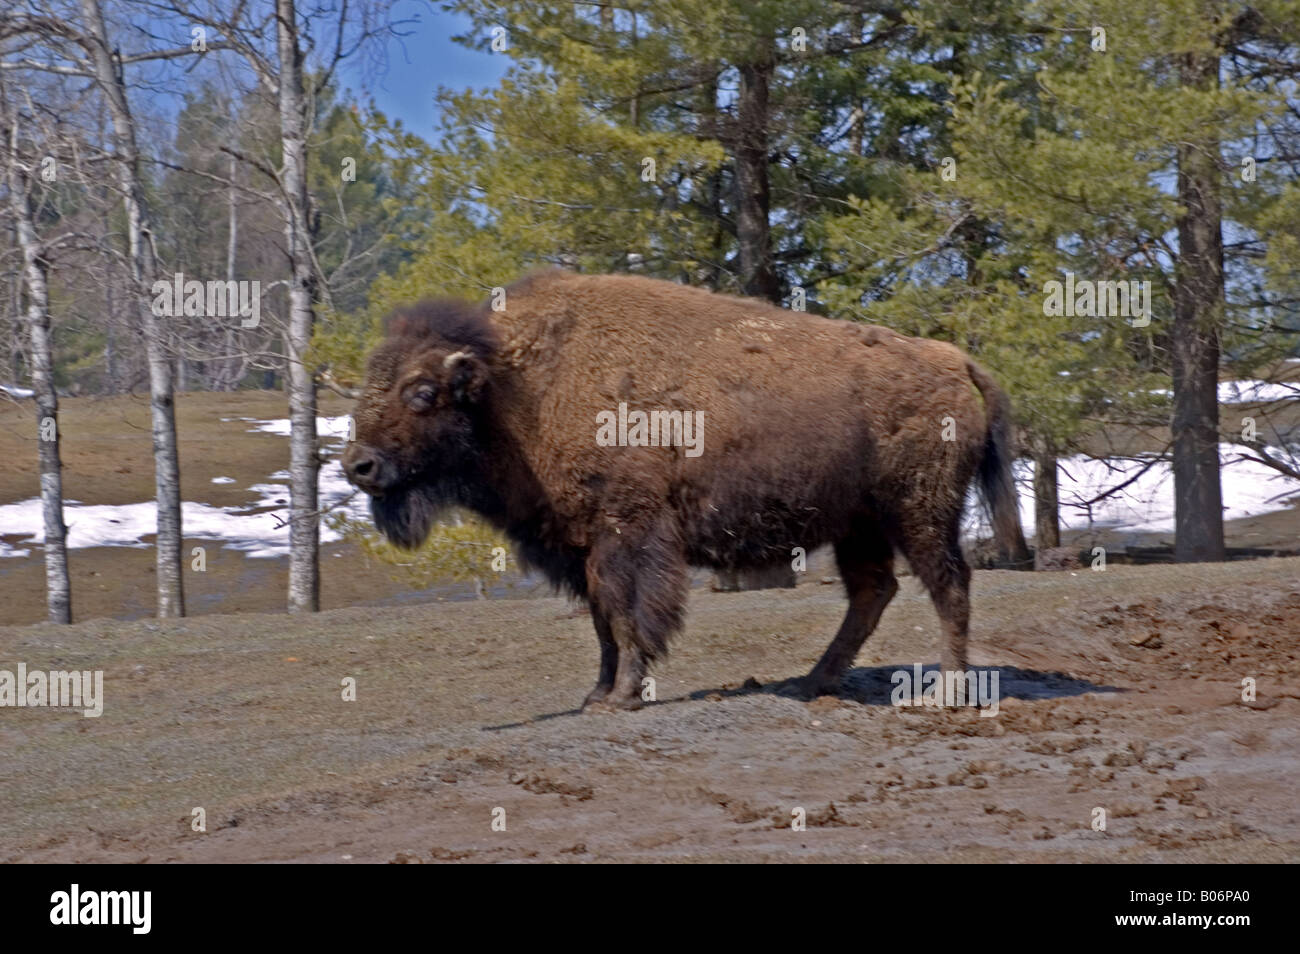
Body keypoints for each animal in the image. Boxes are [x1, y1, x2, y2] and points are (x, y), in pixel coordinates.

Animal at [342, 270, 1029, 710]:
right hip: (858, 523)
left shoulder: (627, 535)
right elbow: (602, 624)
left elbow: (627, 617)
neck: (516, 387)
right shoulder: (583, 546)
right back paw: (812, 683)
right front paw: (596, 695)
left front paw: (621, 698)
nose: (359, 466)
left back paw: (947, 689)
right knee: (873, 591)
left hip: (919, 512)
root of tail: (952, 360)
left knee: (948, 585)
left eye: (422, 392)